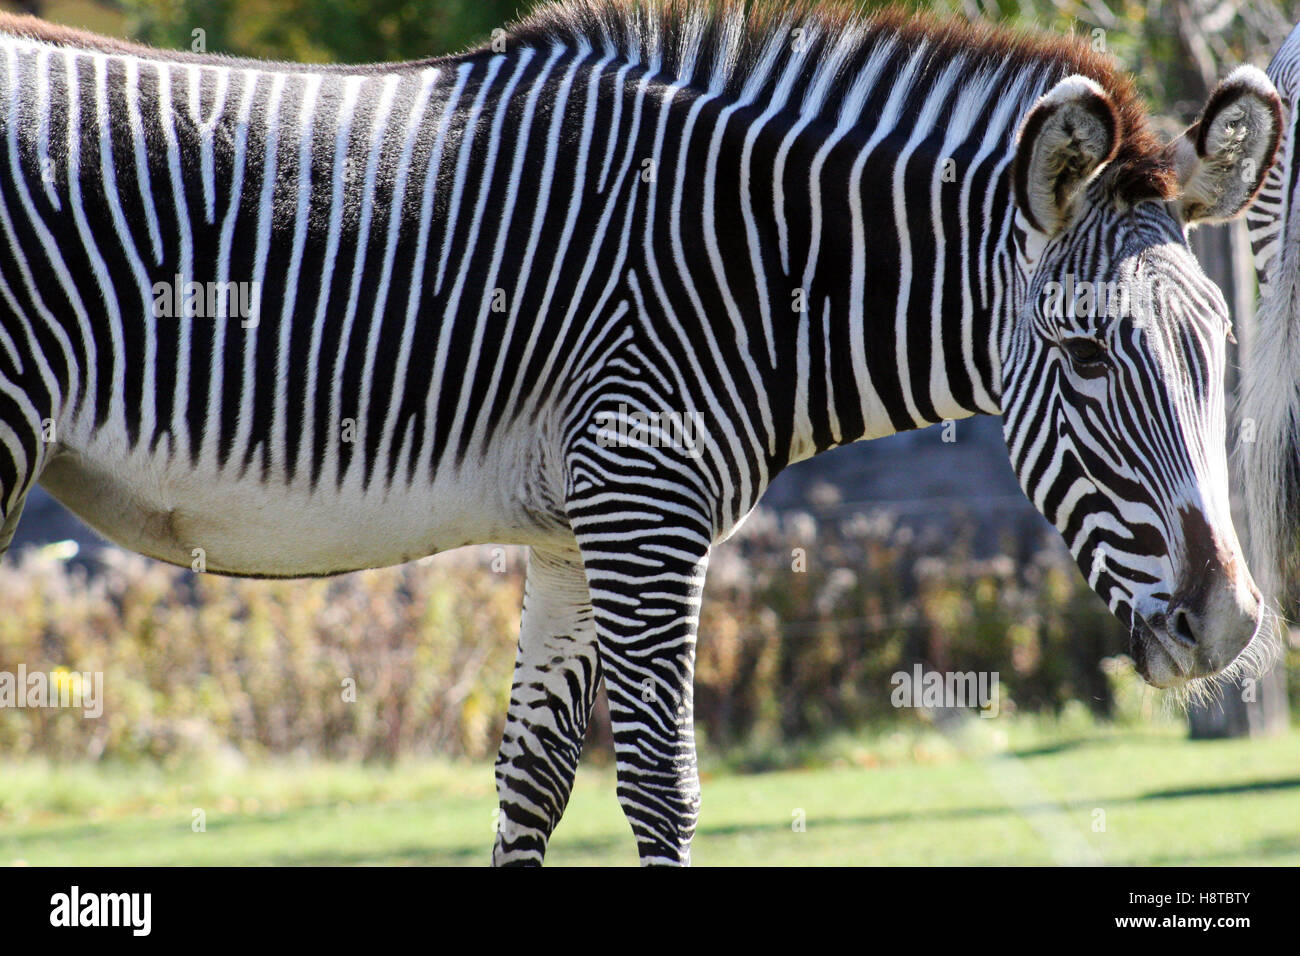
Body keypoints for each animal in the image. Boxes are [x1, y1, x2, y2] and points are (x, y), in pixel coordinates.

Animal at [0, 0, 1279, 866]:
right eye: (1086, 355)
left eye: (1220, 344)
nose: (1226, 622)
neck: (752, 257)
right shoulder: (643, 503)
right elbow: (665, 784)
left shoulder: (574, 531)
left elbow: (532, 780)